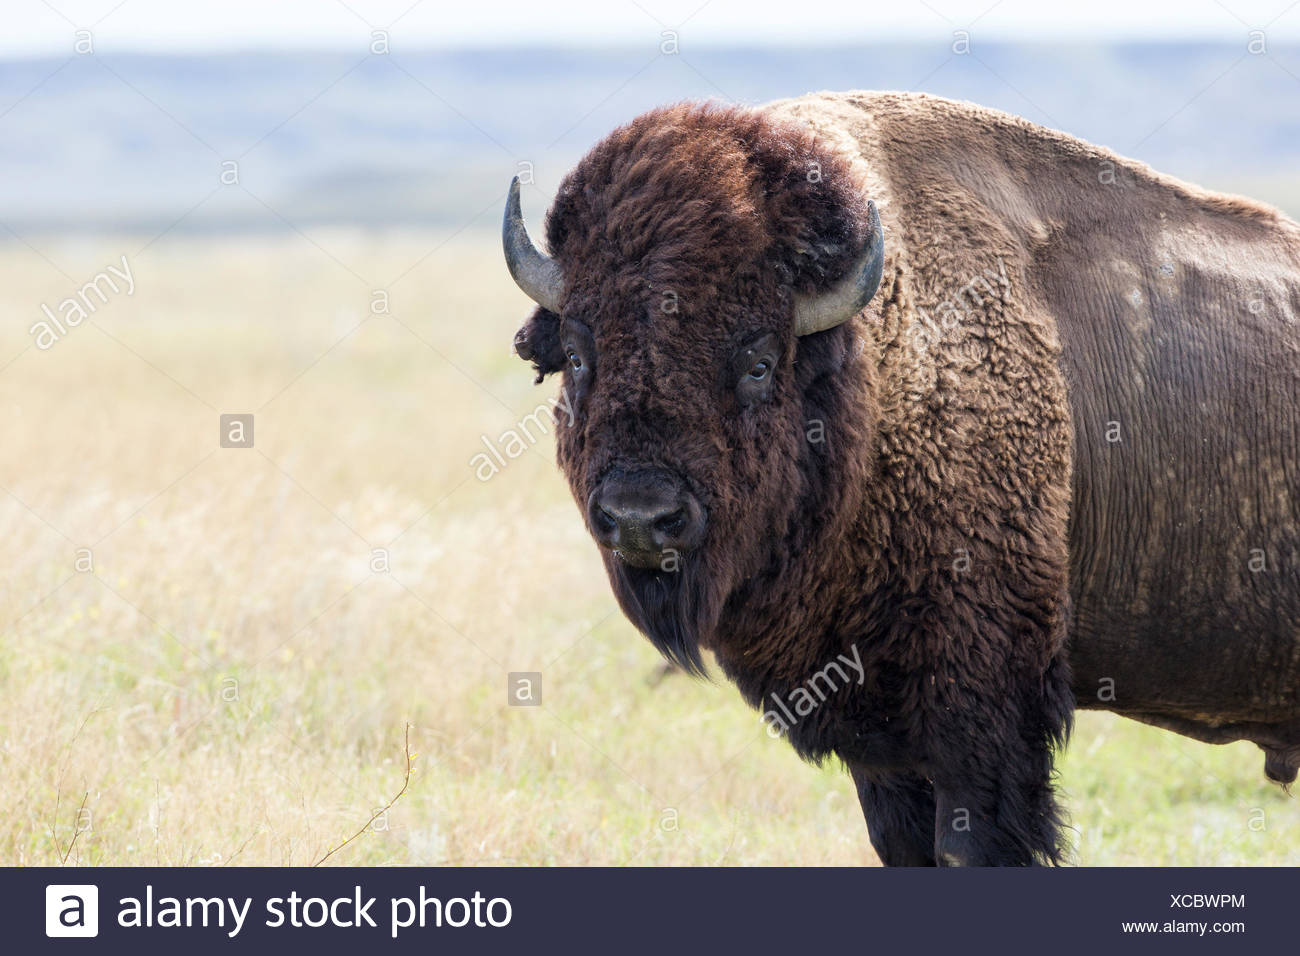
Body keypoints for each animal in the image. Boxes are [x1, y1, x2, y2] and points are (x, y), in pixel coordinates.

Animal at [503, 92, 1300, 865]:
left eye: (758, 361)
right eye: (576, 355)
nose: (641, 516)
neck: (879, 363)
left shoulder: (983, 708)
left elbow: (972, 841)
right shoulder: (875, 733)